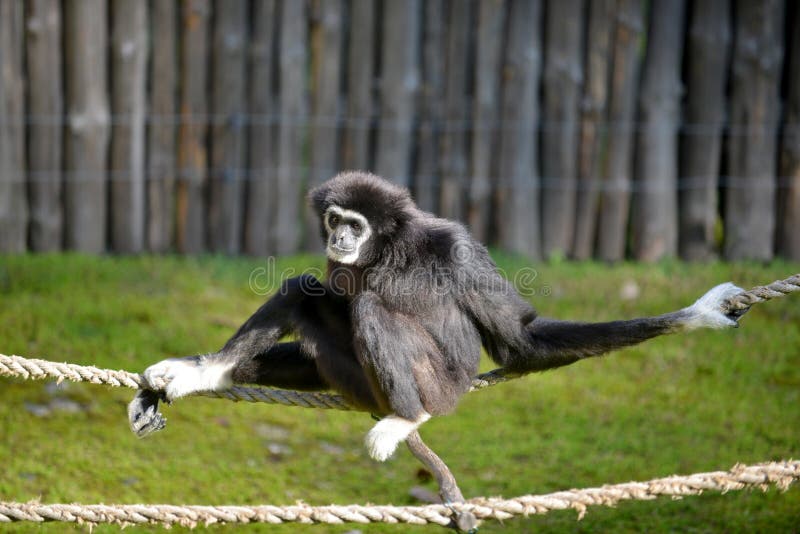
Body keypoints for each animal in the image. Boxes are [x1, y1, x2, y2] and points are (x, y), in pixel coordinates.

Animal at [129, 171, 748, 462]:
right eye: (334, 220)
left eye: (355, 223)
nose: (339, 237)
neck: (390, 251)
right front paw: (199, 373)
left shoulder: (456, 248)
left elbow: (519, 339)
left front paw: (697, 314)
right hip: (357, 380)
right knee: (302, 292)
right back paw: (208, 372)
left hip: (439, 384)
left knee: (373, 310)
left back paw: (407, 418)